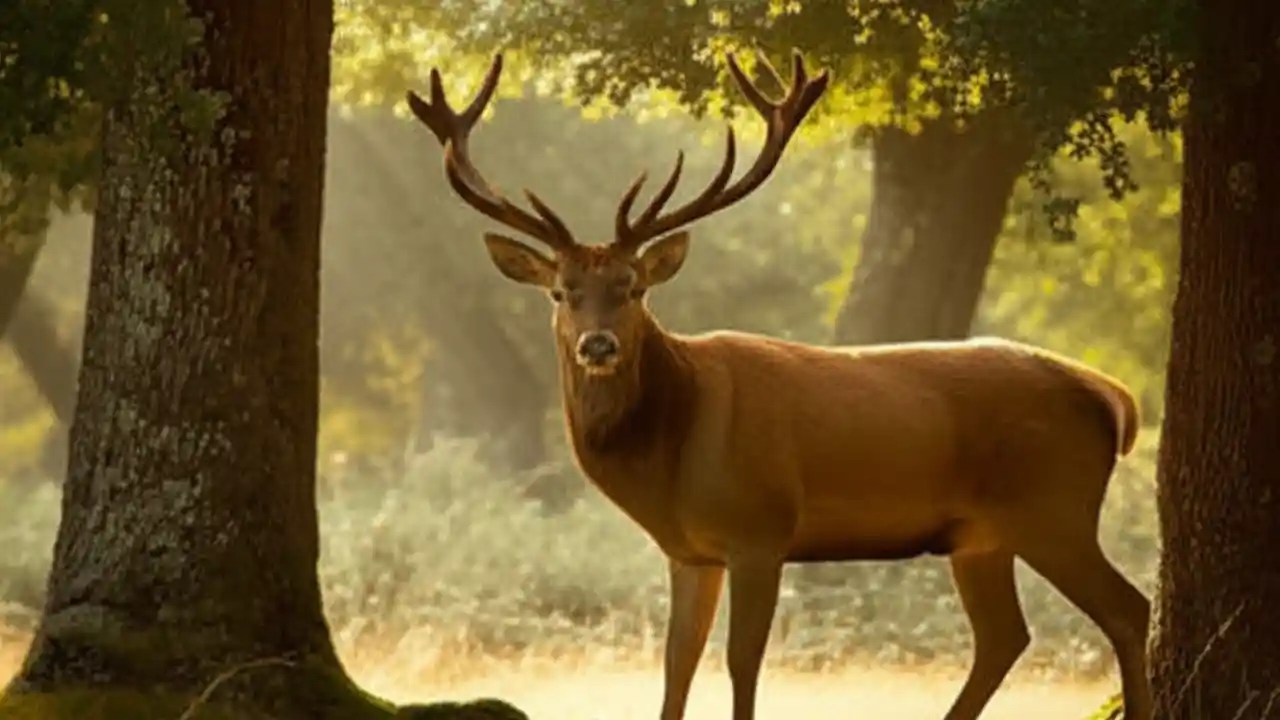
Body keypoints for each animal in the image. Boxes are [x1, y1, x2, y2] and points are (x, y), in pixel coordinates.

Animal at [406, 51, 1153, 720]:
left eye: (633, 286)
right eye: (561, 292)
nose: (598, 344)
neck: (673, 457)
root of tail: (1112, 396)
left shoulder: (760, 528)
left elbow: (741, 663)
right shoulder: (690, 552)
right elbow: (676, 666)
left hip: (1054, 506)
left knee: (1127, 607)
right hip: (983, 535)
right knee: (1005, 636)